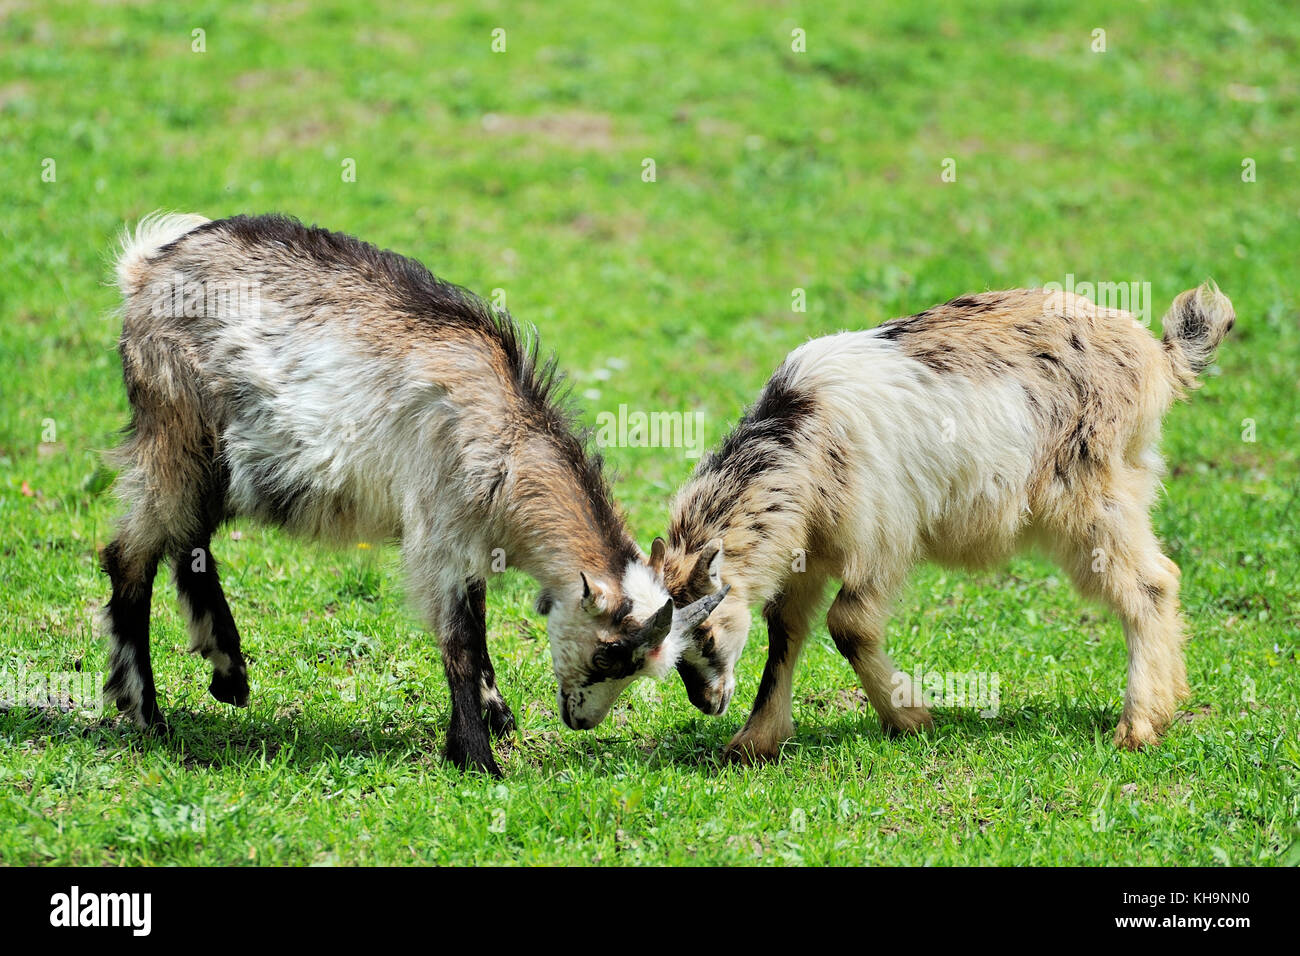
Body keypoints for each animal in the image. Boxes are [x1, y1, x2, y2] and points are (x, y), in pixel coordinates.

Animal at [100, 212, 725, 775]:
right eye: (610, 651)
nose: (581, 721)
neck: (504, 436)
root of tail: (146, 268)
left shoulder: (468, 539)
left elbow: (477, 620)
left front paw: (493, 716)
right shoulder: (437, 530)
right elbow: (461, 639)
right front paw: (477, 759)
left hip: (217, 462)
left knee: (190, 542)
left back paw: (228, 673)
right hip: (175, 431)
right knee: (130, 555)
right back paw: (147, 712)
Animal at [652, 284, 1235, 762]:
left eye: (704, 630)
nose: (706, 703)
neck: (804, 437)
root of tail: (1156, 355)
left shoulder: (883, 540)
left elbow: (849, 625)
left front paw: (910, 719)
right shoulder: (806, 554)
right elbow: (786, 630)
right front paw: (753, 742)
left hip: (1091, 498)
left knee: (1149, 585)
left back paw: (1138, 727)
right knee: (1162, 577)